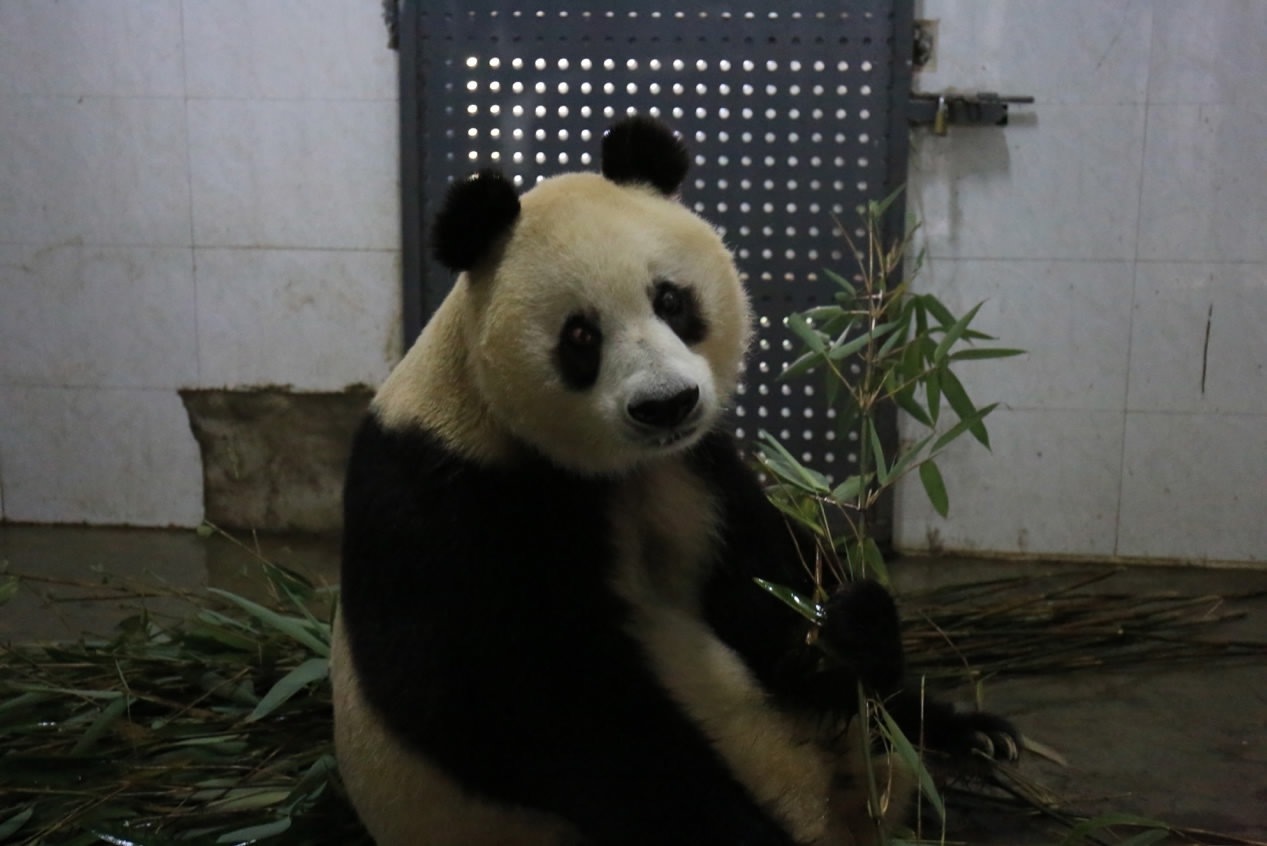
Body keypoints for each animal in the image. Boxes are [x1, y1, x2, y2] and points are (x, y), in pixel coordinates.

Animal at [330, 116, 1020, 846]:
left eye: (670, 299)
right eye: (580, 335)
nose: (665, 405)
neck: (610, 469)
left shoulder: (696, 471)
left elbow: (766, 588)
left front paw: (846, 637)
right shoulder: (452, 500)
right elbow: (543, 710)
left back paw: (972, 739)